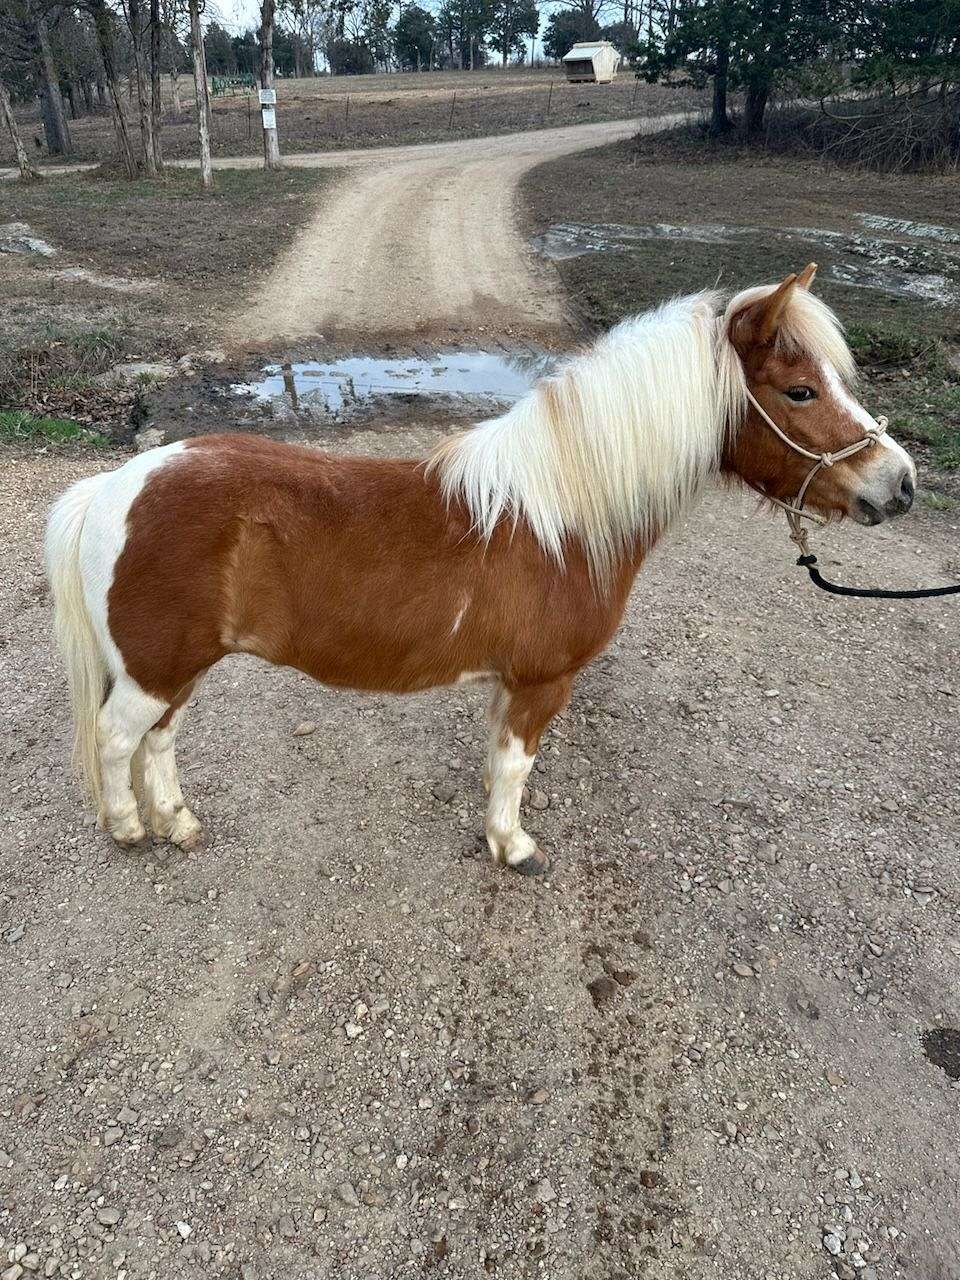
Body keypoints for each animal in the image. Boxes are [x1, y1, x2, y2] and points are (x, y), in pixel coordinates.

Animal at [45, 265, 916, 876]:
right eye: (799, 391)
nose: (900, 484)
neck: (564, 515)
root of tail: (116, 487)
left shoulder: (509, 681)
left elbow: (497, 758)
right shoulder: (543, 681)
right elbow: (515, 767)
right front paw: (513, 845)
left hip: (176, 667)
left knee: (158, 743)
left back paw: (178, 823)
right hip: (156, 668)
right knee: (118, 741)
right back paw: (129, 828)